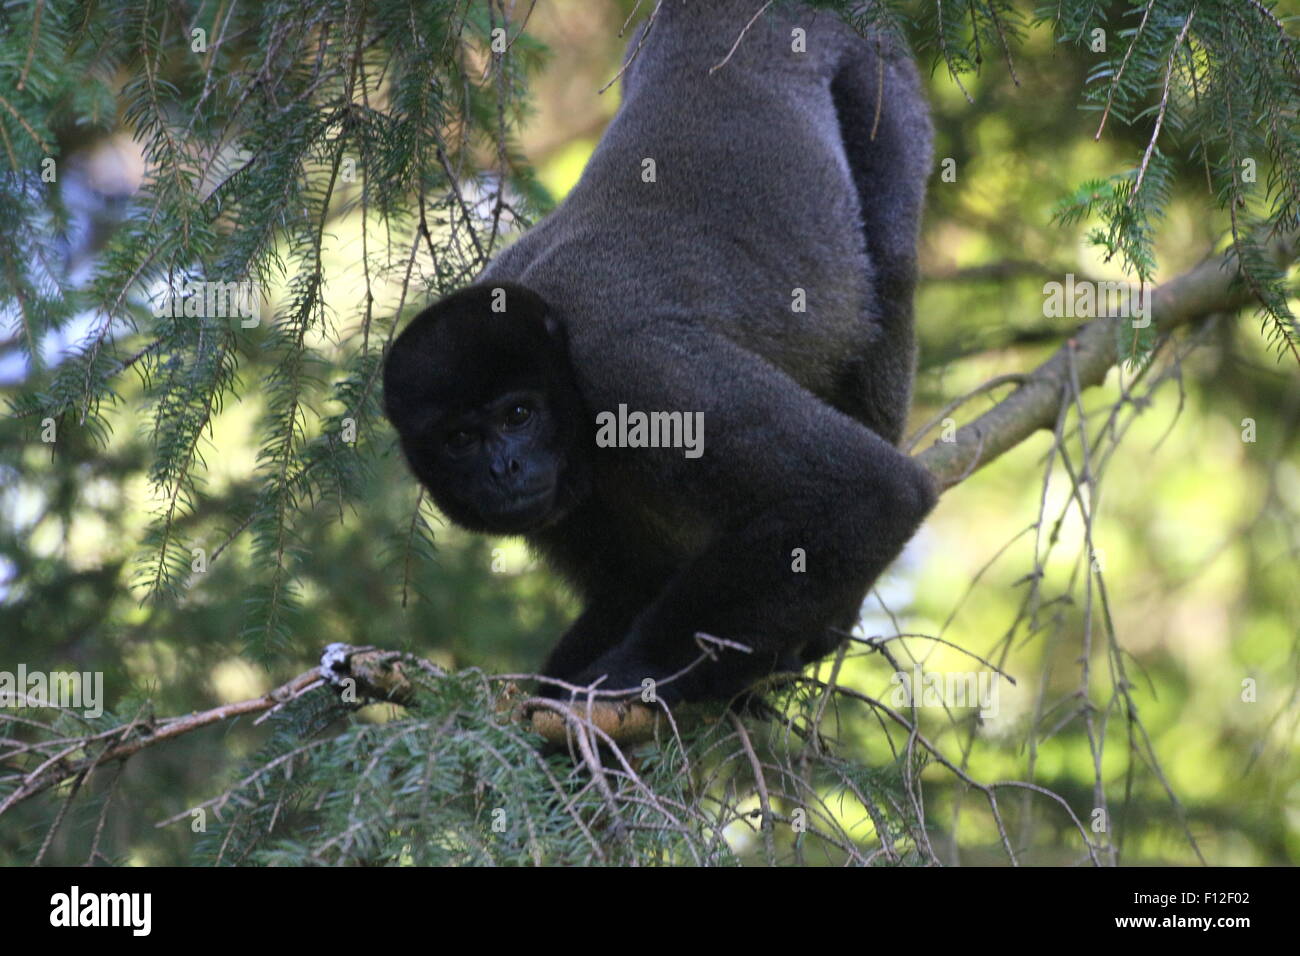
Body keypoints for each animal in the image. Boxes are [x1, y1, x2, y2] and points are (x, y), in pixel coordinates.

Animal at [382, 0, 937, 705]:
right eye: (459, 439)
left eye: (518, 415)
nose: (503, 468)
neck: (563, 368)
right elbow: (633, 584)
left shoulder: (634, 371)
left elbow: (870, 493)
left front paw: (630, 674)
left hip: (878, 67)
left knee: (889, 265)